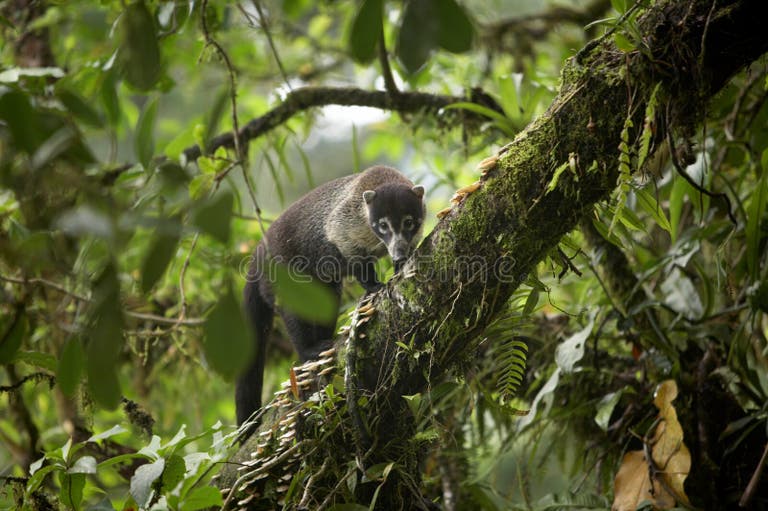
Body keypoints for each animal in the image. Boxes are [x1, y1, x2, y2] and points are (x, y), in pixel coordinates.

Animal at [237, 165, 426, 427]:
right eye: (383, 225)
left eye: (408, 222)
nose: (398, 254)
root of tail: (257, 255)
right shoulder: (347, 221)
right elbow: (345, 244)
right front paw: (373, 284)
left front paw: (400, 264)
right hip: (284, 279)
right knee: (295, 313)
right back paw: (310, 350)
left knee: (326, 302)